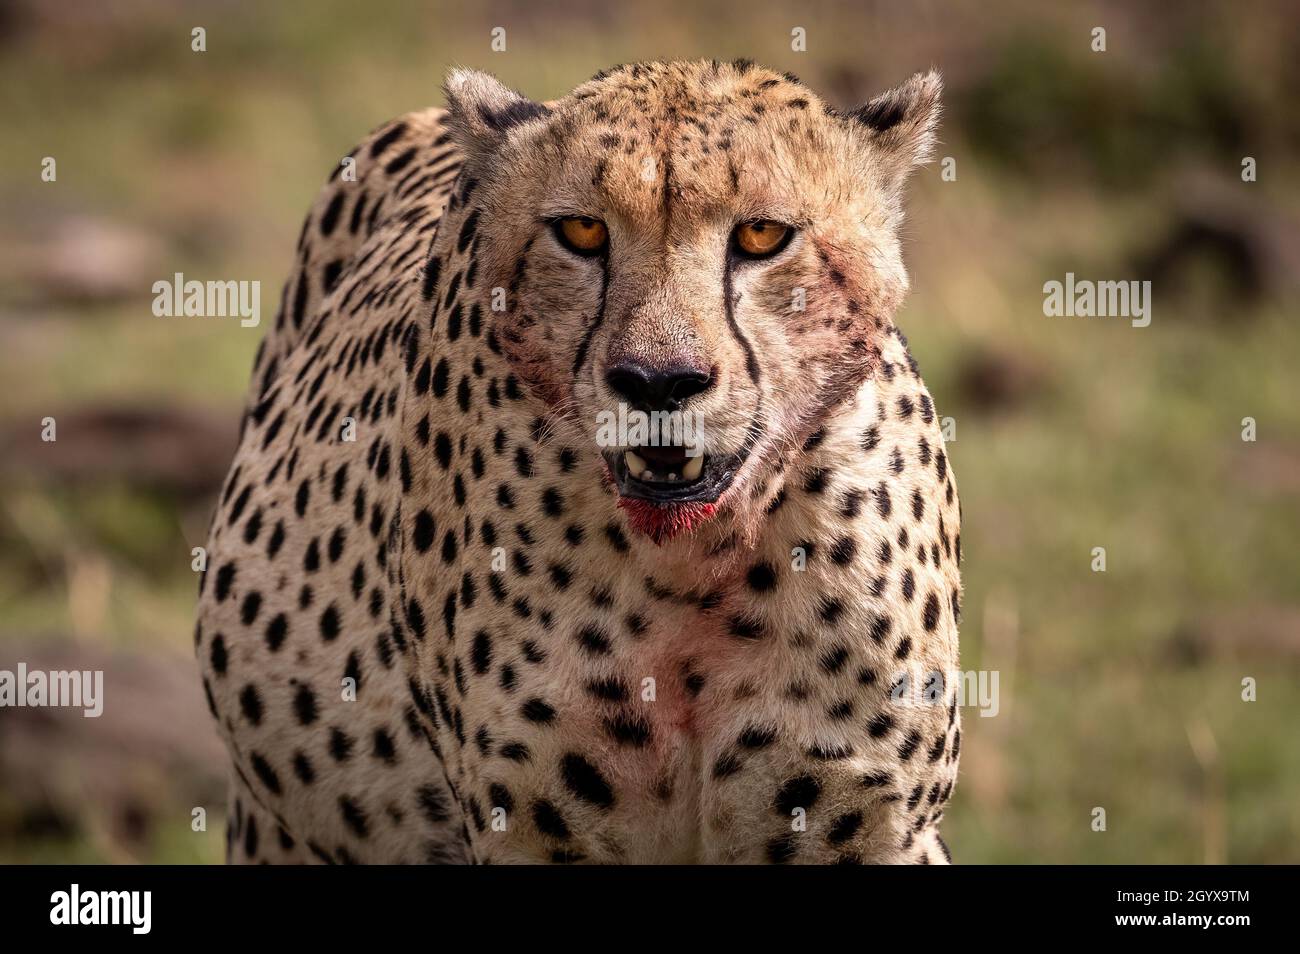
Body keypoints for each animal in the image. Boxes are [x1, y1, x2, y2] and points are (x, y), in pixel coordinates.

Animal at [194, 58, 963, 865]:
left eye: (762, 234)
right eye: (582, 230)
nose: (659, 382)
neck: (690, 565)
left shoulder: (868, 828)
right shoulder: (528, 831)